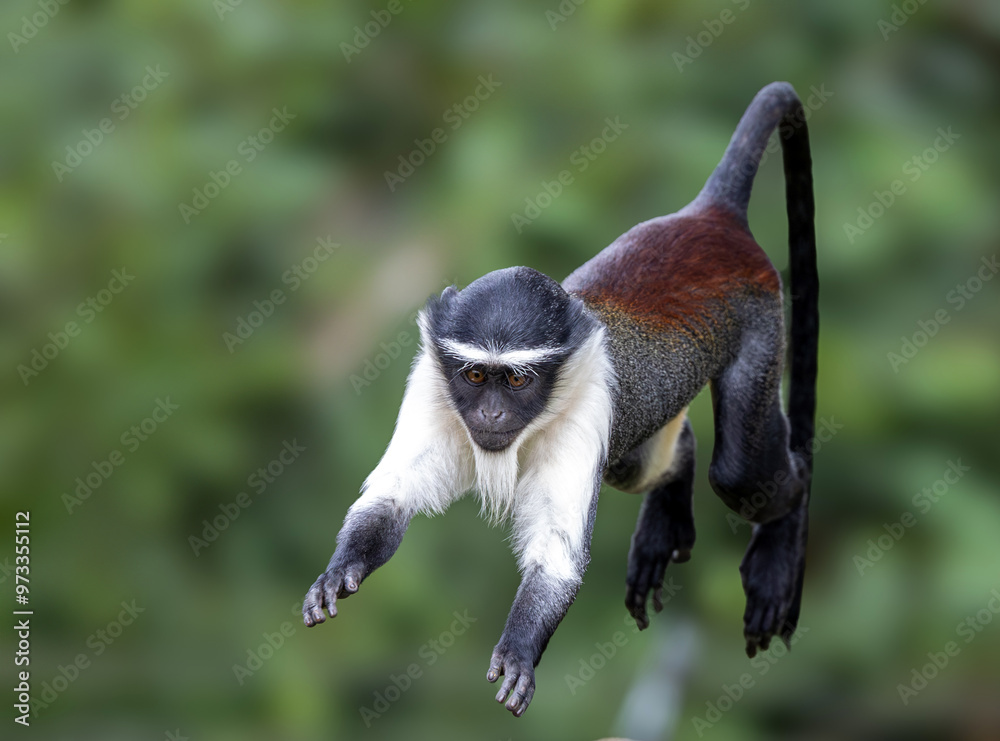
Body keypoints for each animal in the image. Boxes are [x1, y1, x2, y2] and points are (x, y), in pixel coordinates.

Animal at [303, 81, 817, 717]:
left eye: (518, 381)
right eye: (476, 376)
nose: (491, 413)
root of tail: (711, 216)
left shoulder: (587, 411)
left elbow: (557, 548)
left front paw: (520, 650)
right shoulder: (431, 383)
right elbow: (392, 495)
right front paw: (340, 570)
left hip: (763, 322)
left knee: (744, 472)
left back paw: (779, 548)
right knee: (649, 459)